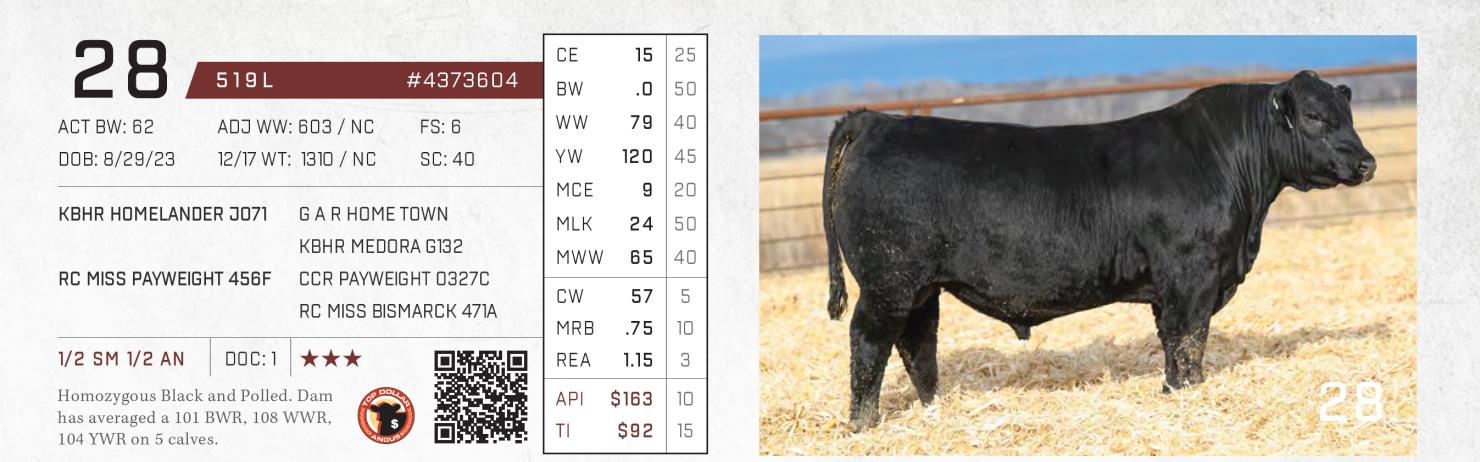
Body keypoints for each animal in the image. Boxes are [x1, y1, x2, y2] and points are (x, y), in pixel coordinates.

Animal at [821, 70, 1375, 431]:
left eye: (1348, 114)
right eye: (1314, 116)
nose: (1367, 163)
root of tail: (877, 121)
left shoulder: (1172, 288)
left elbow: (1172, 346)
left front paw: (1173, 394)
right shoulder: (1192, 276)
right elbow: (1189, 343)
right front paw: (1190, 396)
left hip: (920, 287)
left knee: (918, 345)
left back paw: (935, 411)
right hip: (888, 282)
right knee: (869, 343)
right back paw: (864, 424)